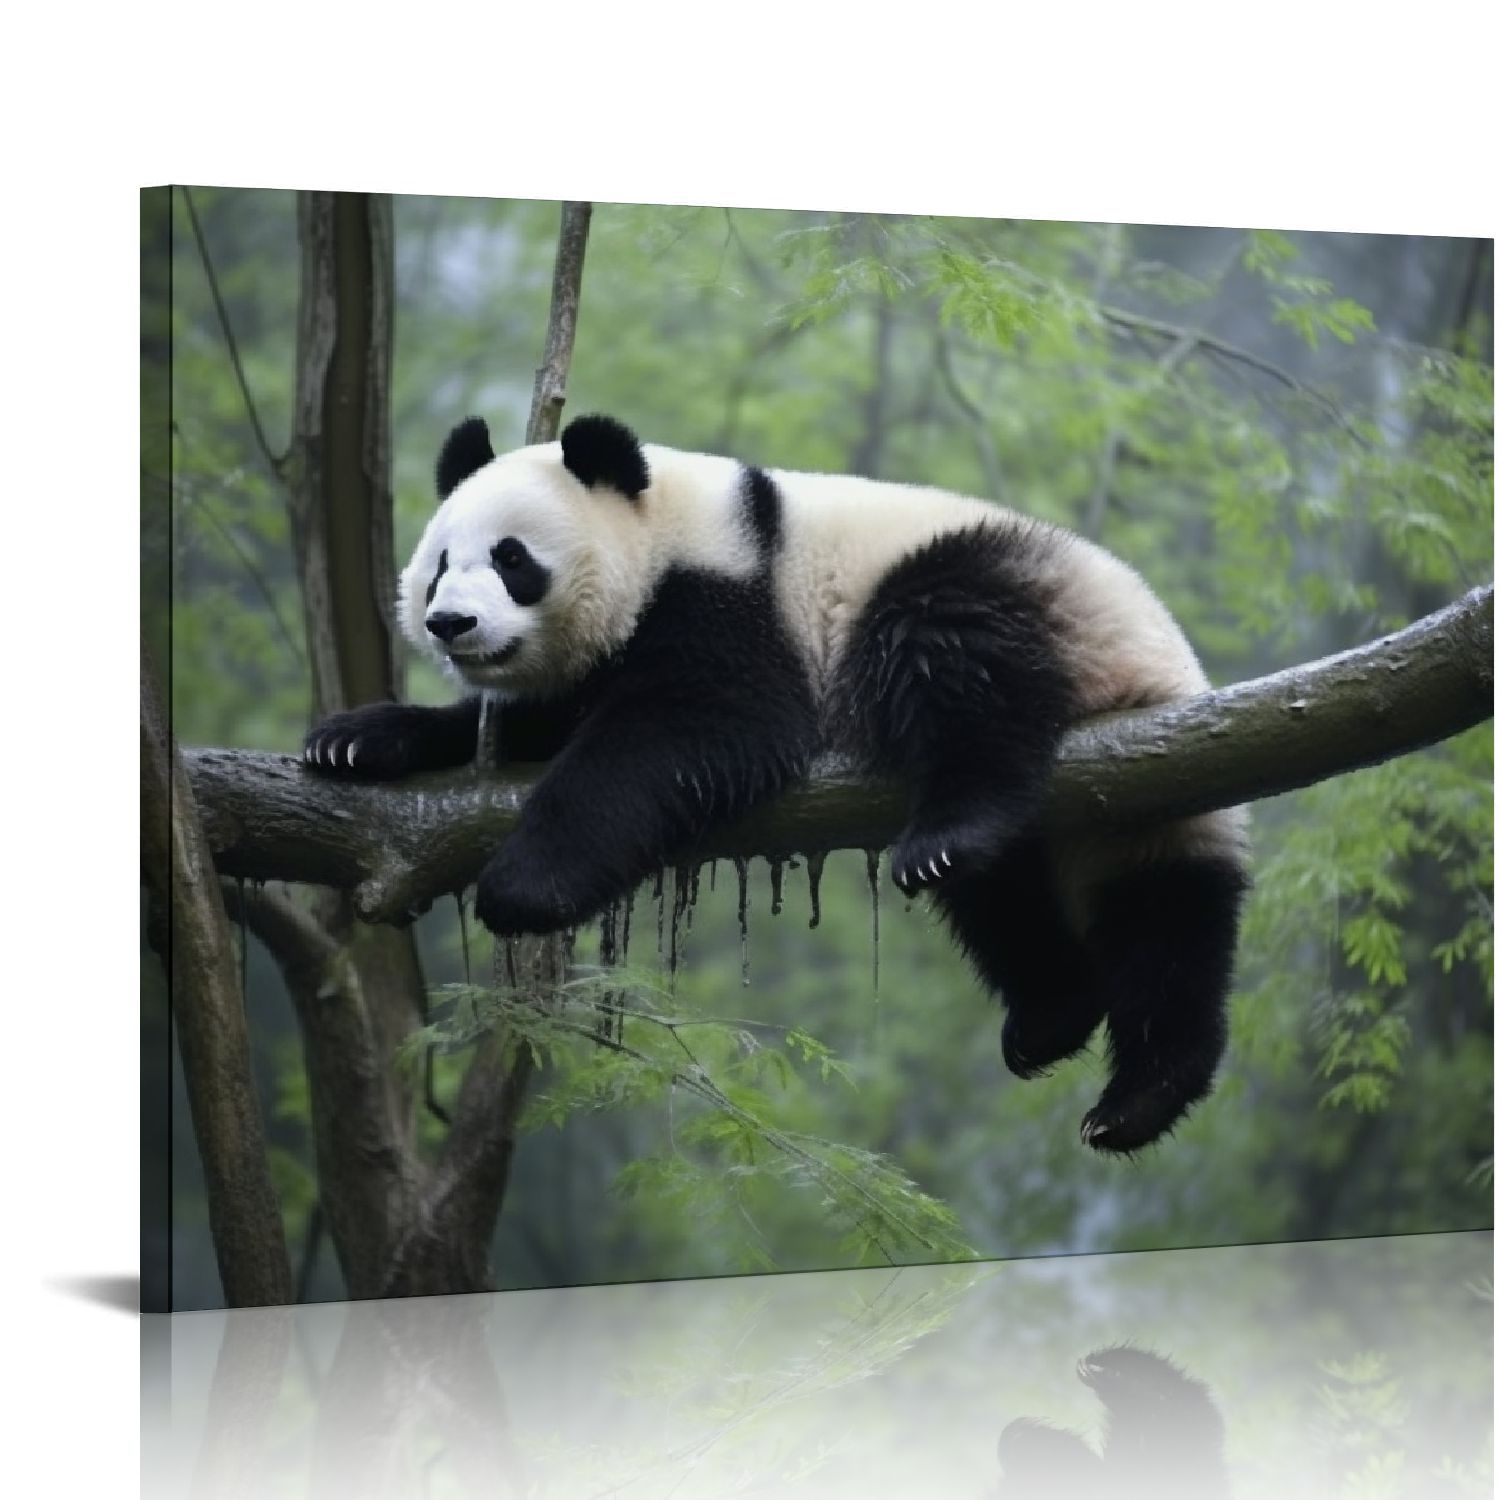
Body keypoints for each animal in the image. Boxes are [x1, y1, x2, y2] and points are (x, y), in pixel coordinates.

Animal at [304, 413, 1248, 1152]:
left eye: (512, 560)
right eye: (439, 563)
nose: (449, 623)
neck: (675, 524)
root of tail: (1171, 674)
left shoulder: (730, 603)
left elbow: (696, 730)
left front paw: (523, 886)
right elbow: (532, 724)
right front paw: (358, 739)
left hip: (1016, 602)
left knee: (955, 658)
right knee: (1122, 915)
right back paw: (1087, 1047)